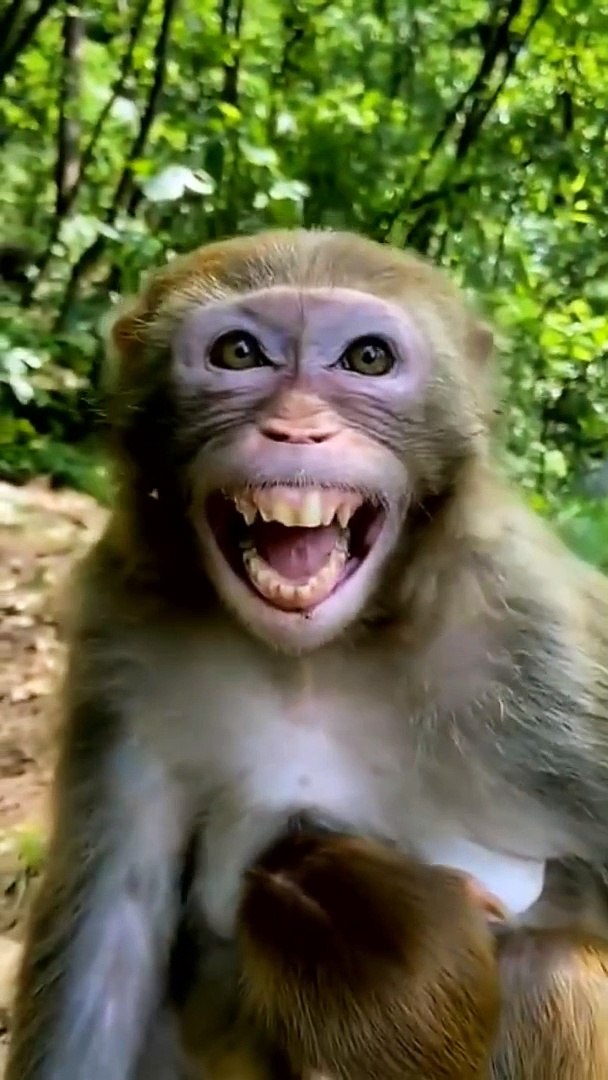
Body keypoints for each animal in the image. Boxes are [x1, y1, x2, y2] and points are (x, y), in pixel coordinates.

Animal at [6, 226, 608, 1080]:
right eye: (238, 352)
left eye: (366, 359)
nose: (296, 429)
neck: (312, 661)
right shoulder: (122, 643)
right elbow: (109, 957)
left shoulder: (543, 647)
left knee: (552, 968)